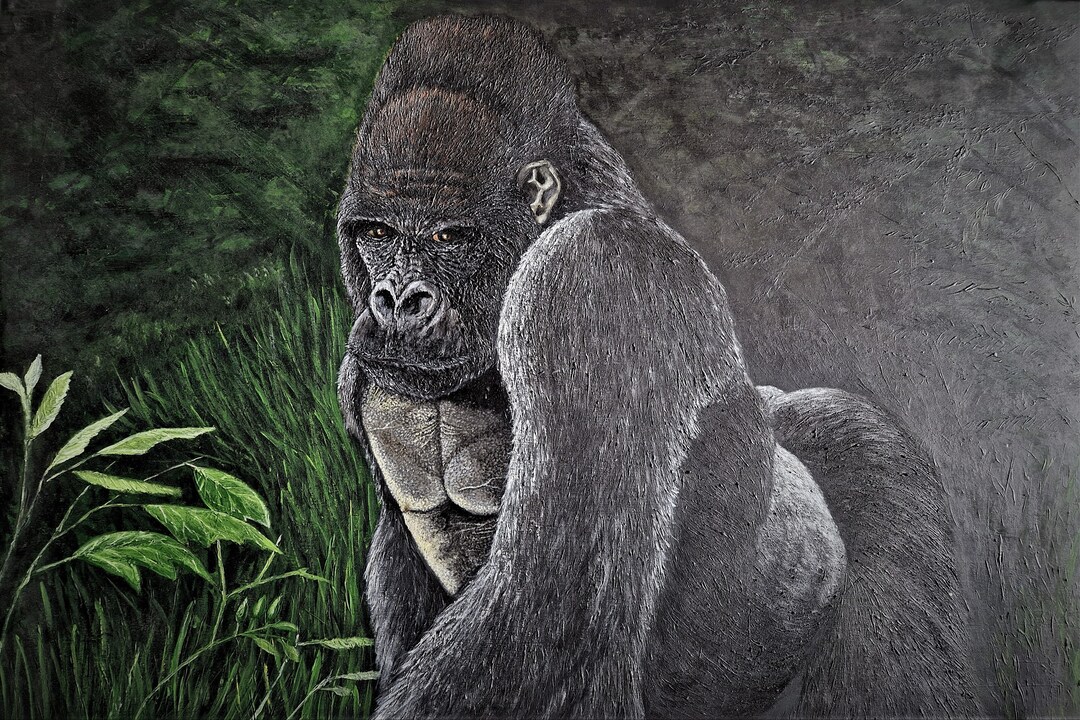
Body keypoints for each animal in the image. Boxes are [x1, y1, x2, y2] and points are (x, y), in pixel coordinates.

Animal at [335, 14, 981, 719]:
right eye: (375, 234)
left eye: (449, 237)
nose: (396, 300)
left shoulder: (592, 275)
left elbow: (545, 618)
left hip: (881, 455)